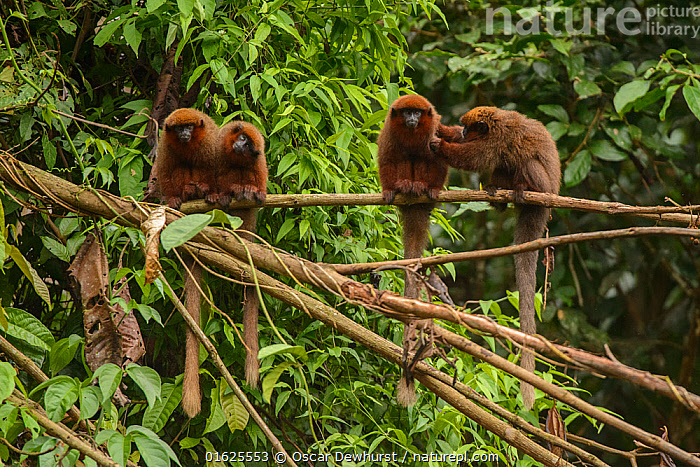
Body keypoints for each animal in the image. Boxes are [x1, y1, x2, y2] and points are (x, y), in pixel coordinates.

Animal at [430, 106, 561, 410]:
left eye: (470, 127)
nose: (464, 131)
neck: (496, 122)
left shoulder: (498, 140)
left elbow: (474, 156)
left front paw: (440, 146)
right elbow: (469, 149)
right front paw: (441, 129)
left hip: (544, 187)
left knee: (526, 162)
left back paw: (526, 190)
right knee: (504, 166)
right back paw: (496, 195)